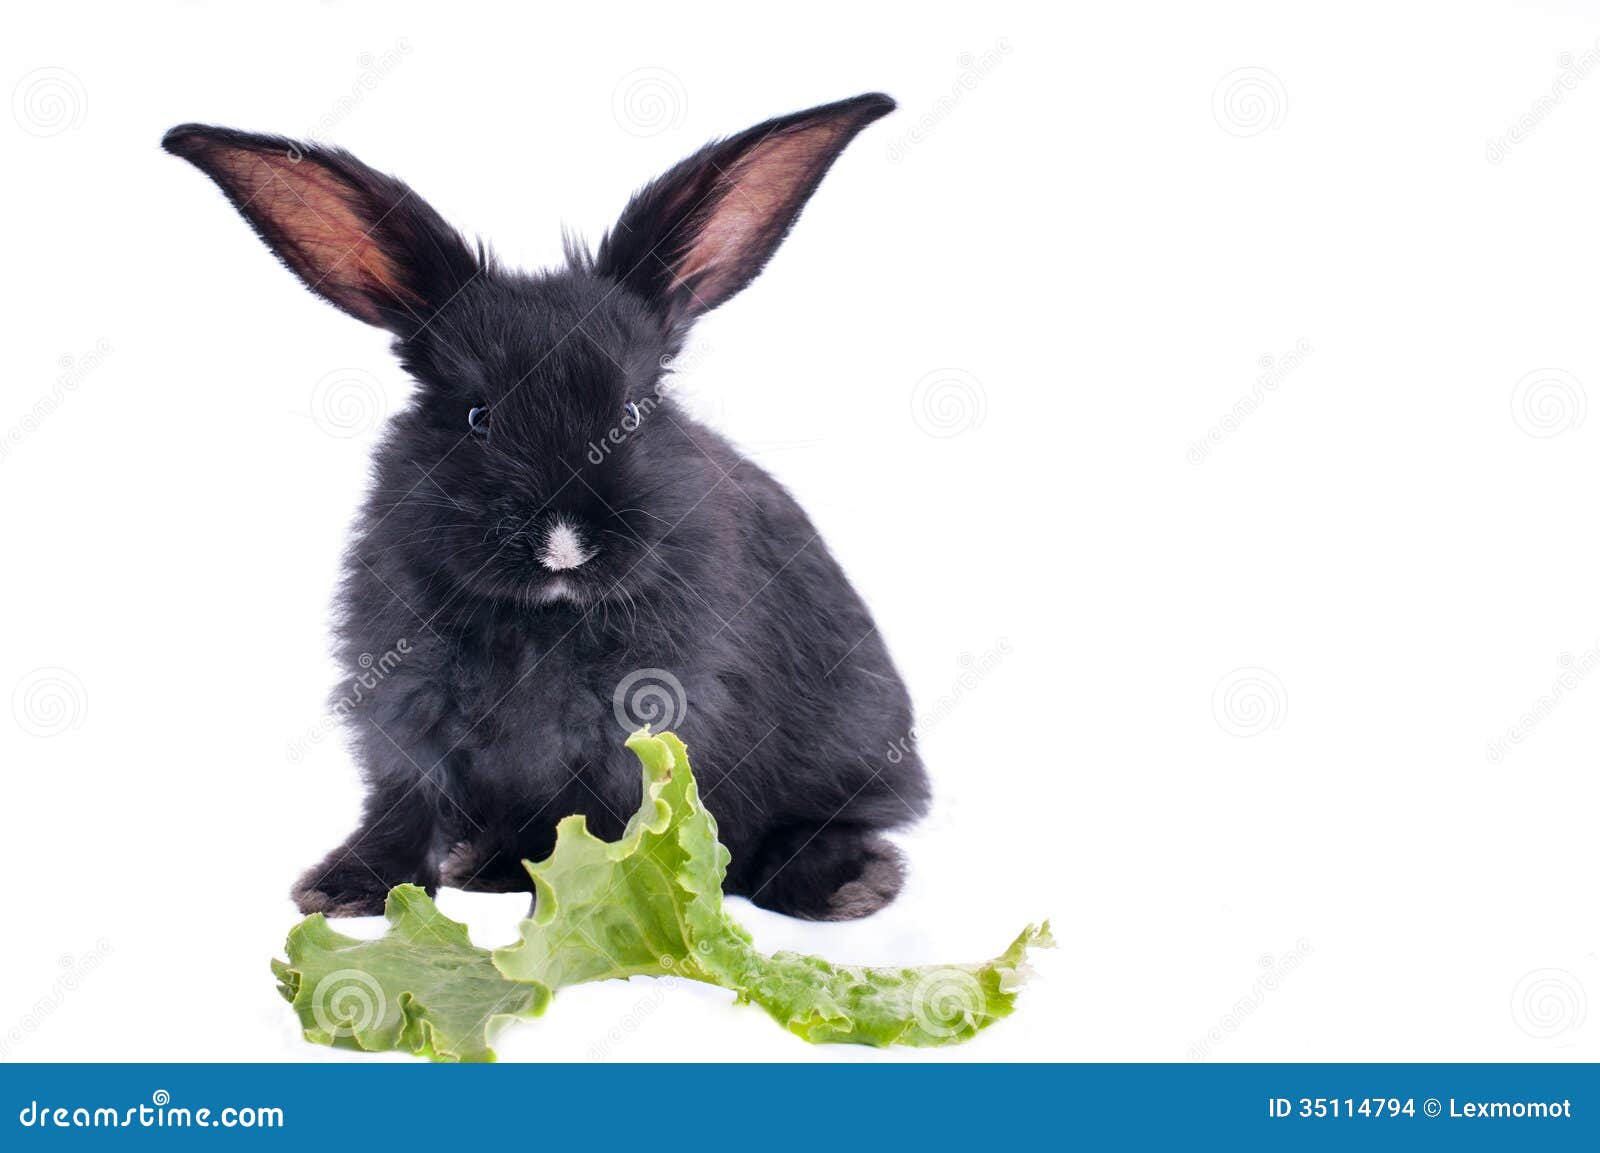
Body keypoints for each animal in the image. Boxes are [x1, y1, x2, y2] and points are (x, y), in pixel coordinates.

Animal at [163, 93, 930, 921]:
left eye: (631, 413)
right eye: (478, 417)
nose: (562, 543)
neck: (544, 617)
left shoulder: (638, 725)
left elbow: (598, 821)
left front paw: (590, 905)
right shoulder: (407, 708)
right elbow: (402, 802)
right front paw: (343, 889)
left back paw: (845, 882)